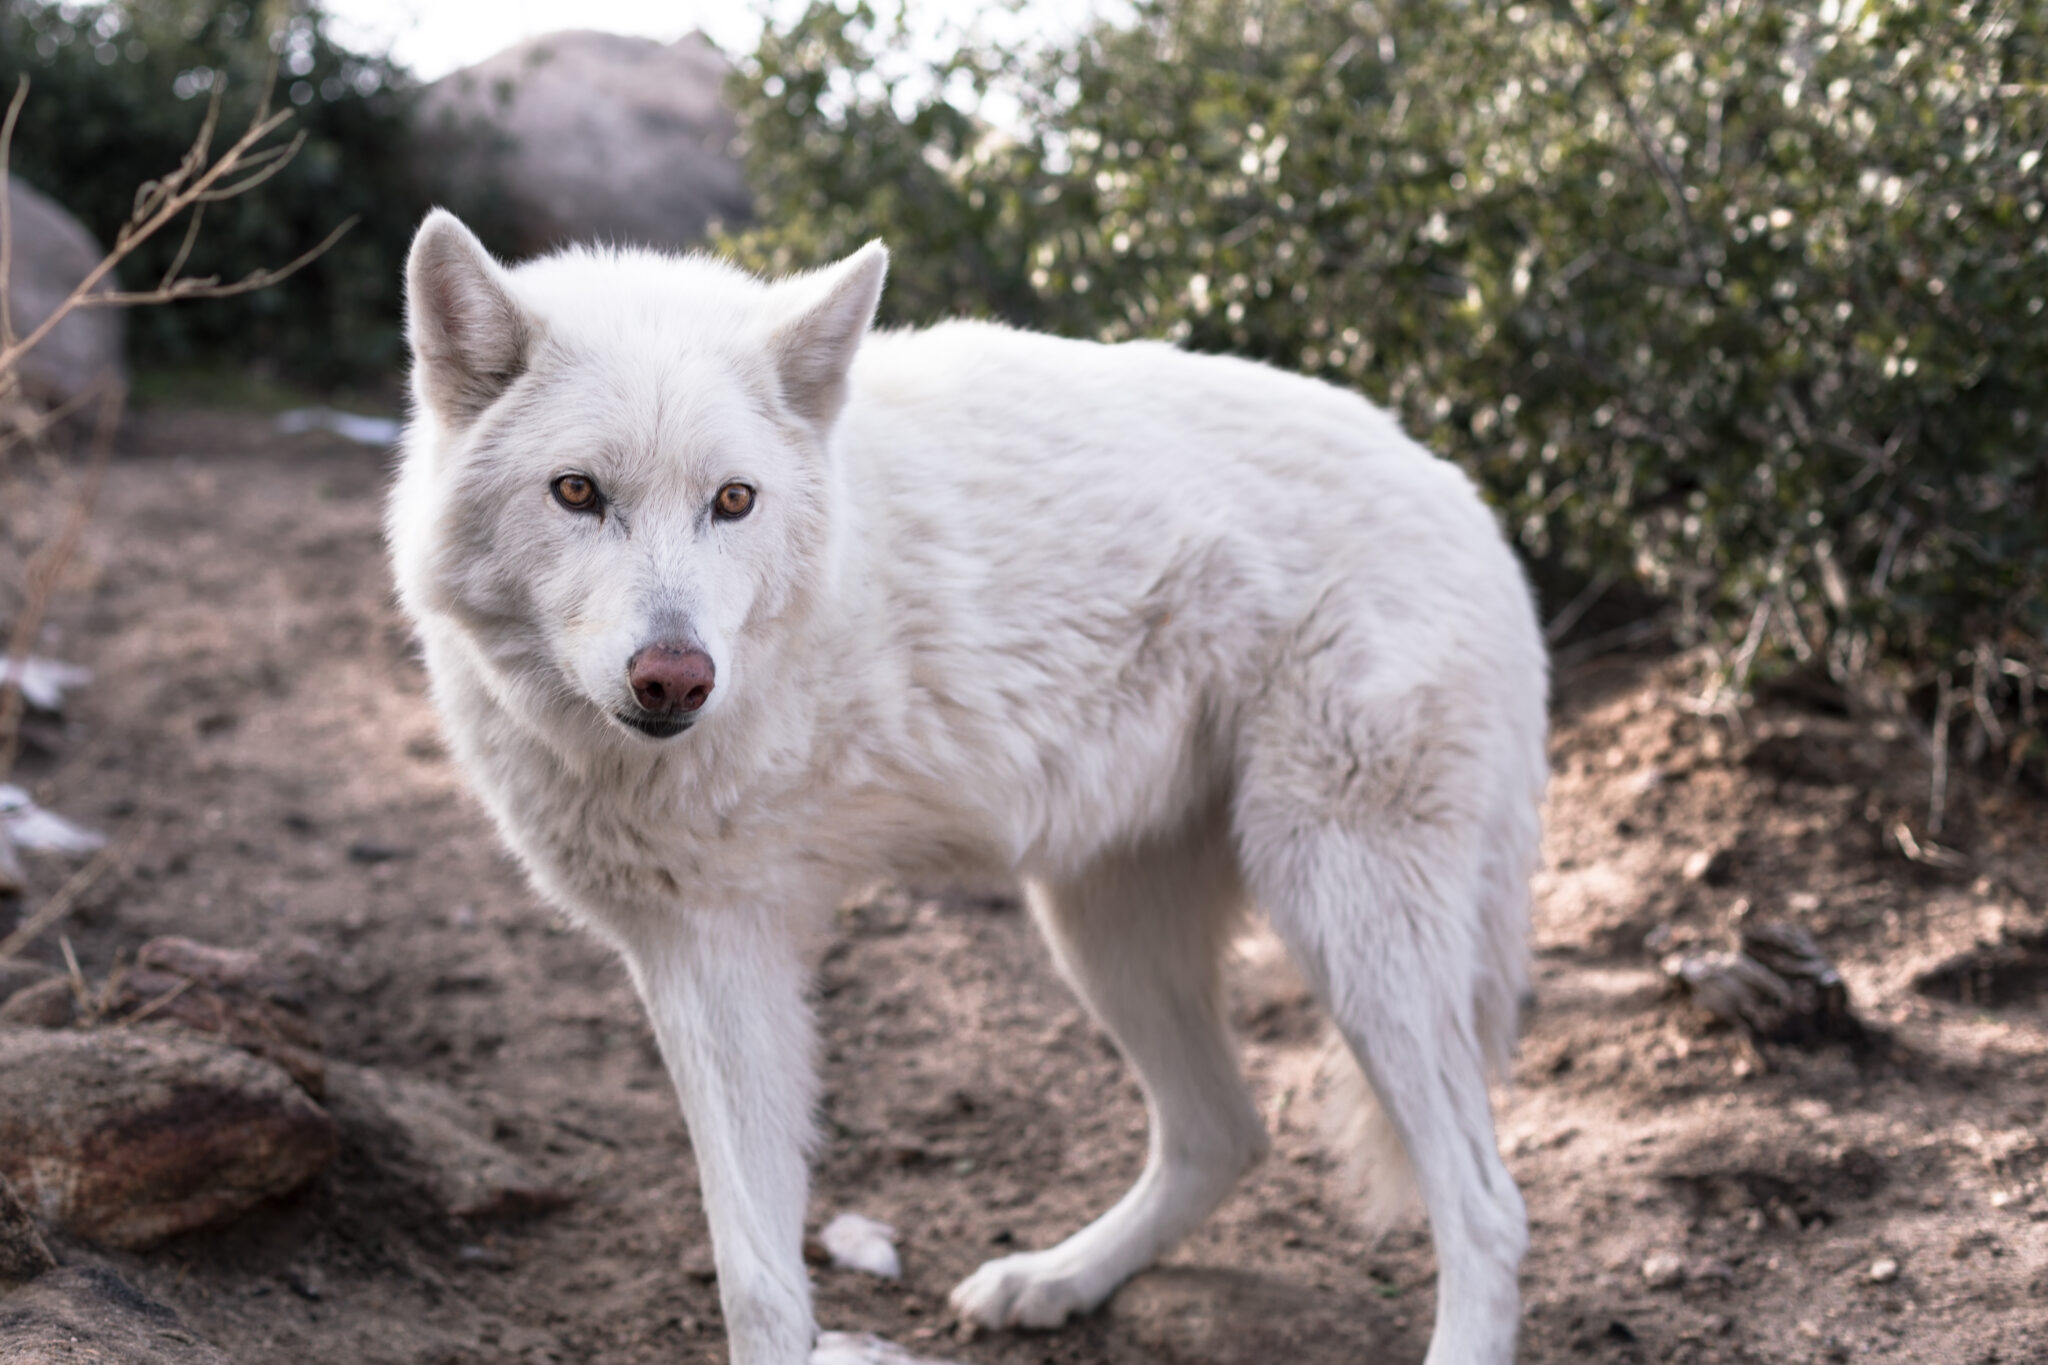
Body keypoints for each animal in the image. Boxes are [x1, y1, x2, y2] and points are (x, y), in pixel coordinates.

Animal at [387, 209, 1548, 1365]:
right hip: (1106, 930)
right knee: (1225, 1133)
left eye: (733, 501)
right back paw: (1055, 1279)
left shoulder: (727, 949)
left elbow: (755, 1285)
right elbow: (759, 1270)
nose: (675, 677)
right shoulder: (688, 953)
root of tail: (1471, 504)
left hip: (1343, 921)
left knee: (1486, 1206)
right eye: (577, 491)